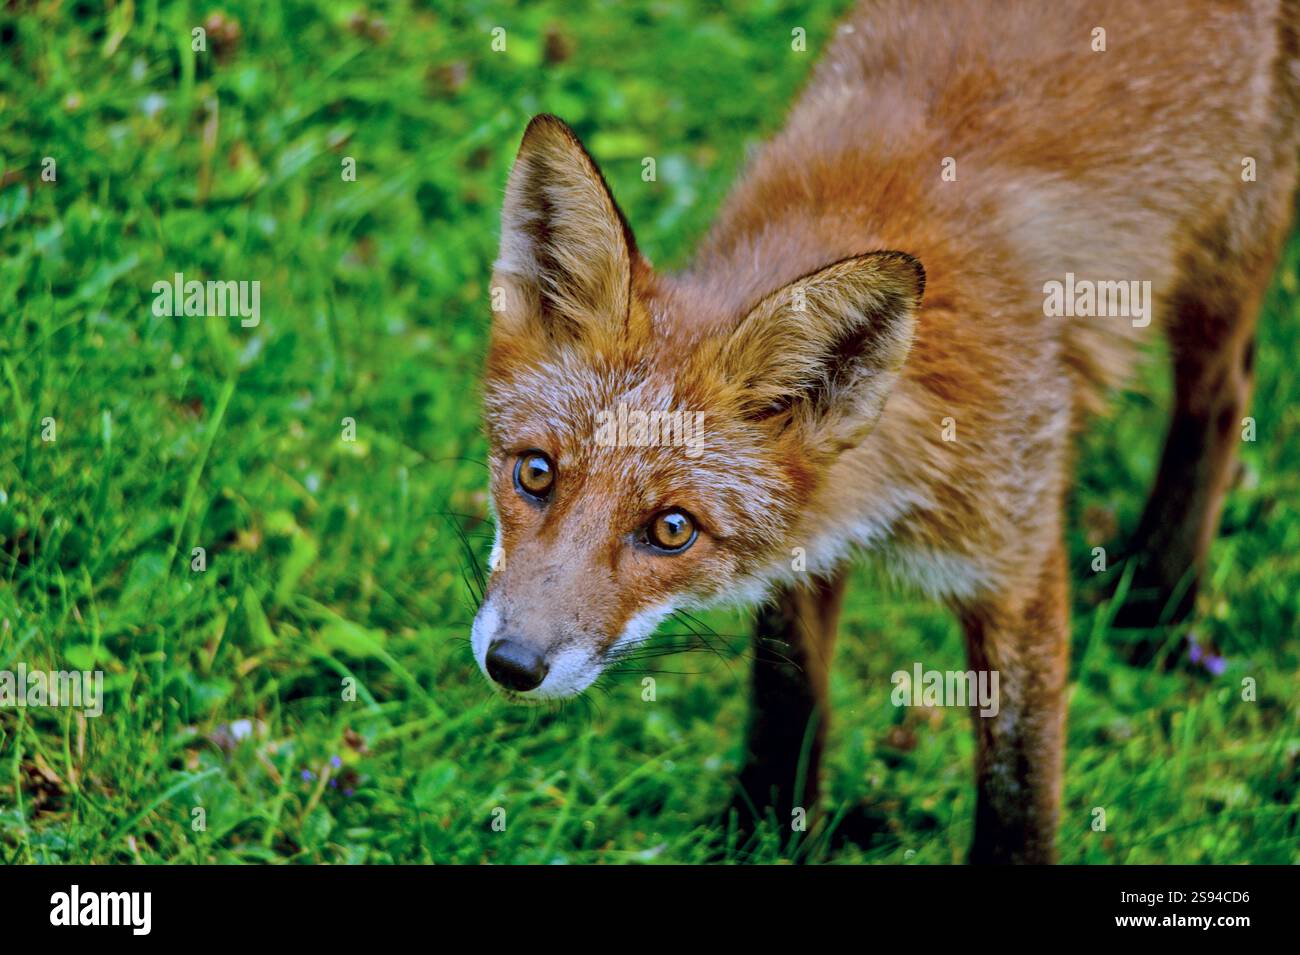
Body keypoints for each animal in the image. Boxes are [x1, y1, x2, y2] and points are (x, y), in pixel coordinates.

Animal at [471, 0, 1300, 863]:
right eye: (534, 473)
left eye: (672, 529)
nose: (513, 664)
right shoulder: (807, 544)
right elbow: (789, 696)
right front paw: (765, 828)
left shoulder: (1017, 556)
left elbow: (1018, 778)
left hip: (1226, 255)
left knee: (1223, 392)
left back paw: (1159, 601)